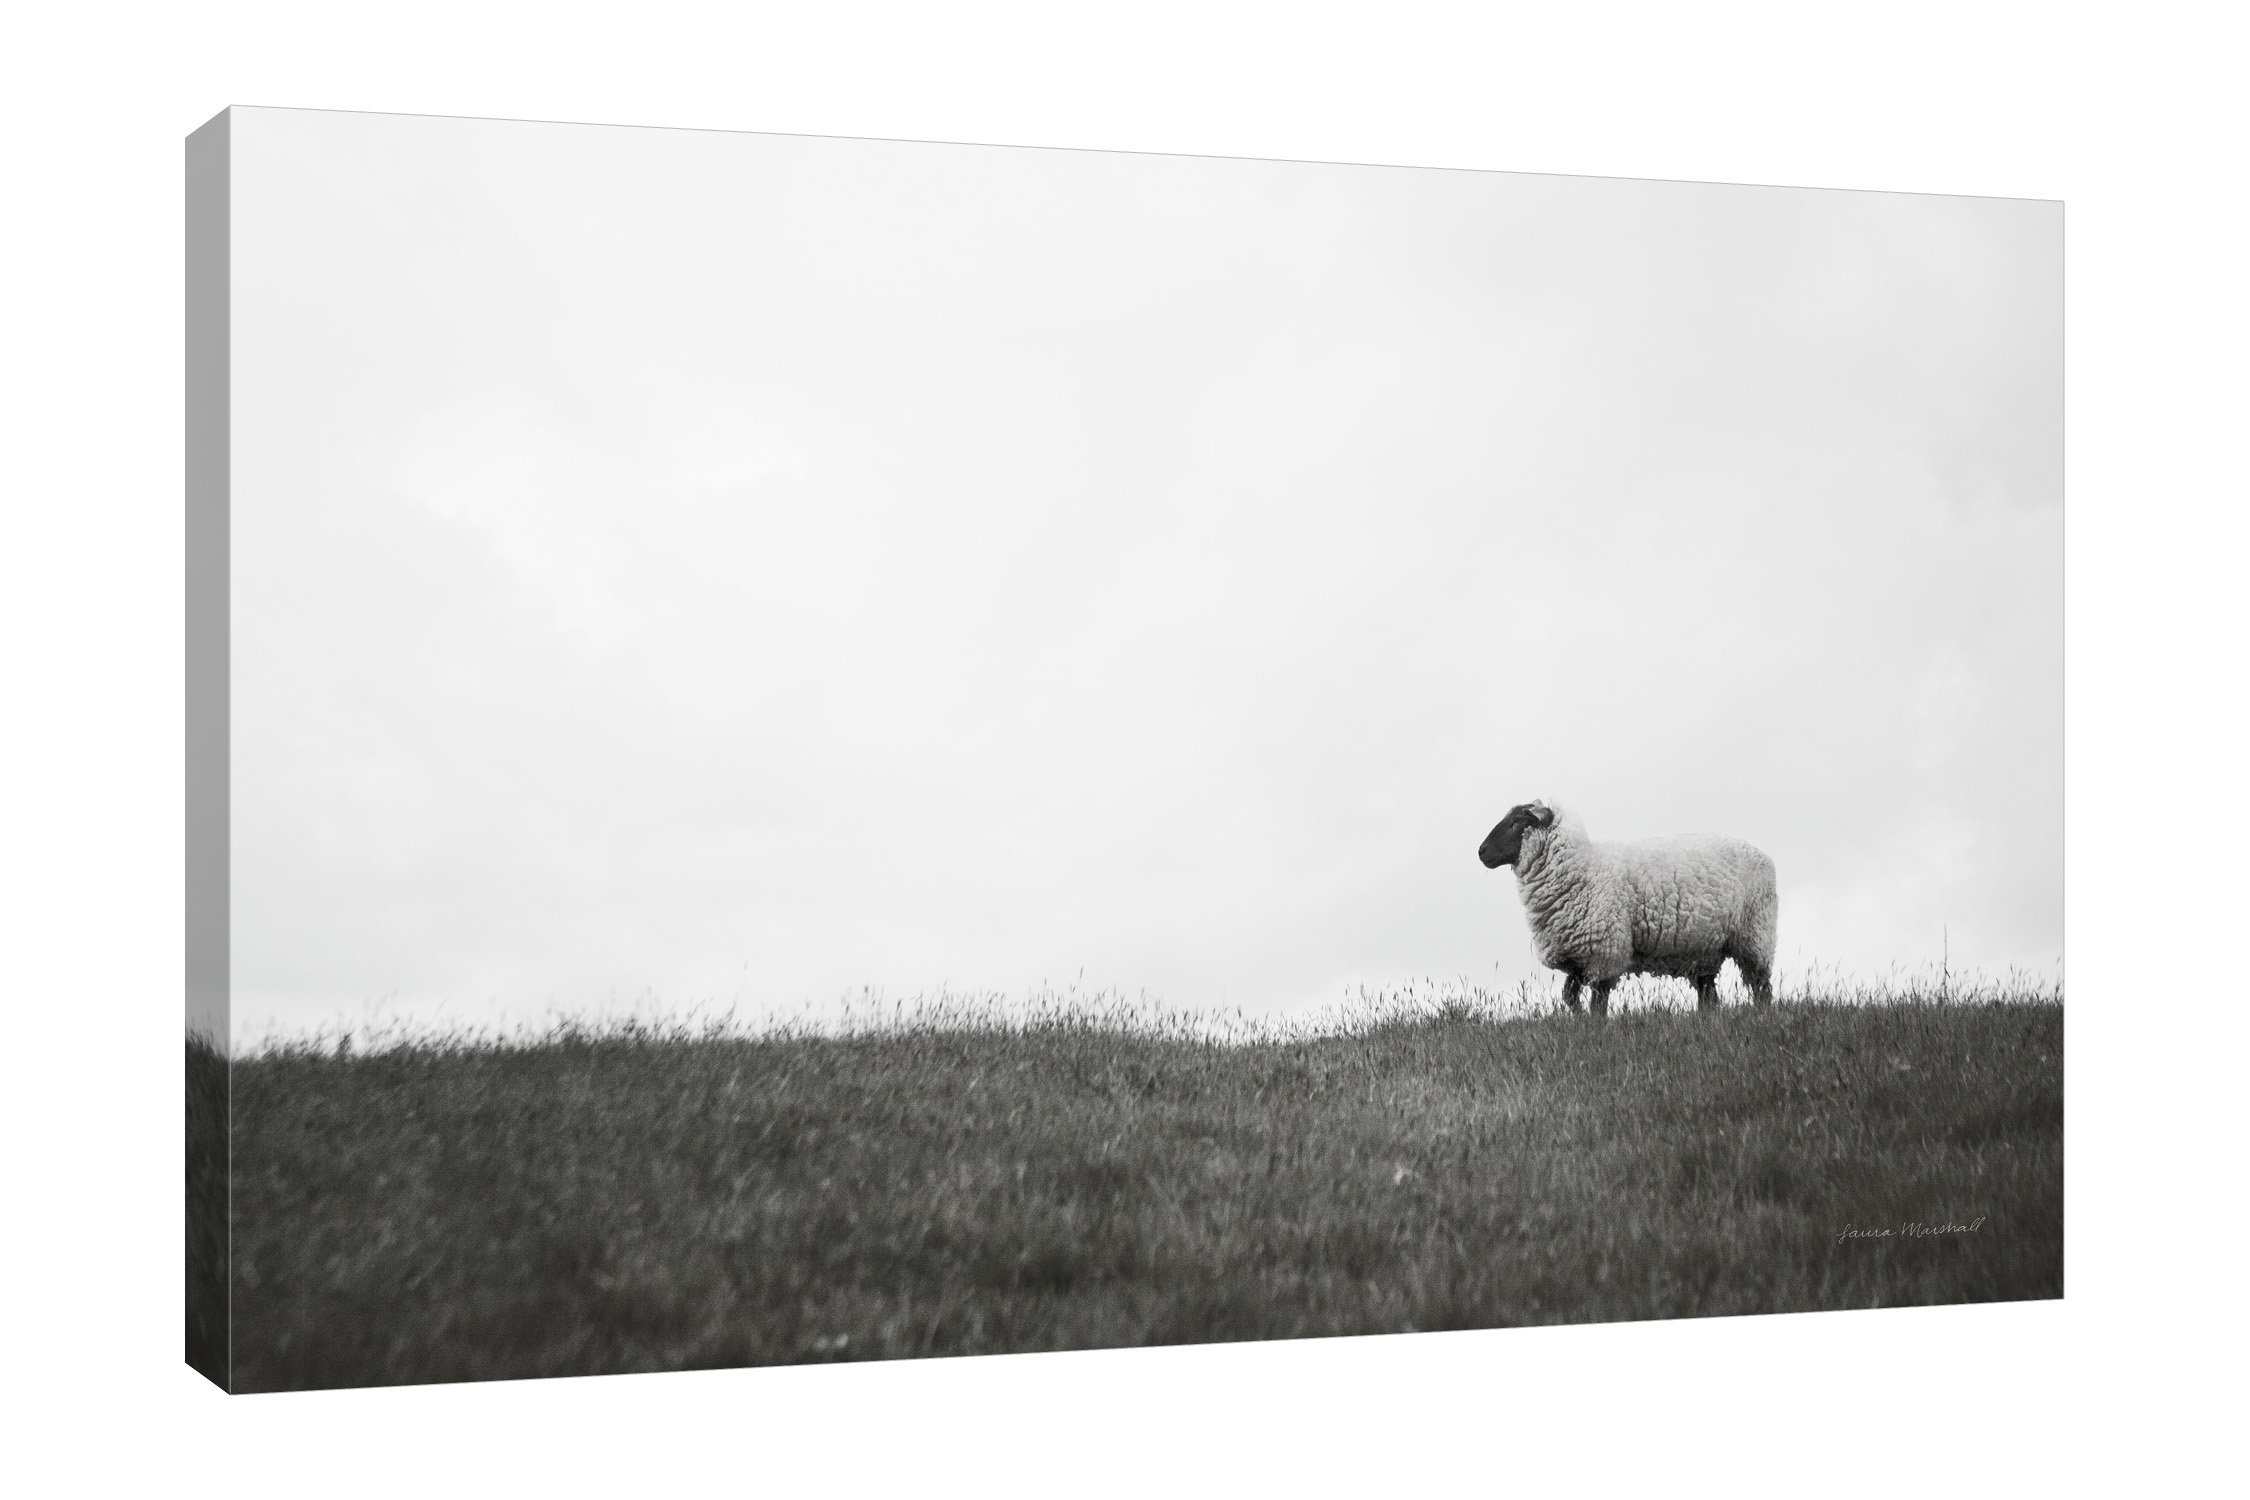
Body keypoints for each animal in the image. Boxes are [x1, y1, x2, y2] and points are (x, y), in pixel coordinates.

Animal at [1477, 800, 1777, 1017]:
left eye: (1517, 822)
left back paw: (1762, 1016)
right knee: (1709, 997)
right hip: (1703, 950)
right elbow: (1569, 997)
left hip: (1755, 936)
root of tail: (1763, 855)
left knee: (1761, 987)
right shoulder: (1578, 956)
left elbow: (1598, 1003)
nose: (1481, 851)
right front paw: (1578, 1021)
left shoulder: (1606, 951)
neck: (1584, 868)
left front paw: (1595, 1027)